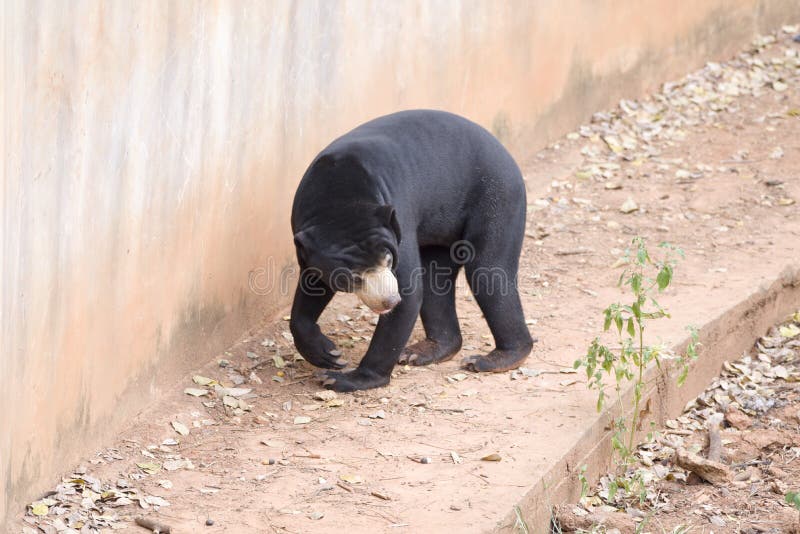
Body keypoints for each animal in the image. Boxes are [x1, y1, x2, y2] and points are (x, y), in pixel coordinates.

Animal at [289, 109, 534, 392]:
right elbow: (313, 287)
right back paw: (426, 350)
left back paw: (496, 358)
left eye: (388, 259)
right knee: (436, 279)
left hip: (496, 198)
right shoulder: (308, 245)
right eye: (352, 276)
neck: (338, 195)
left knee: (488, 273)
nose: (389, 301)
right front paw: (327, 353)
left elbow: (409, 290)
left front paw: (346, 377)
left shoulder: (399, 218)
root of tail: (505, 152)